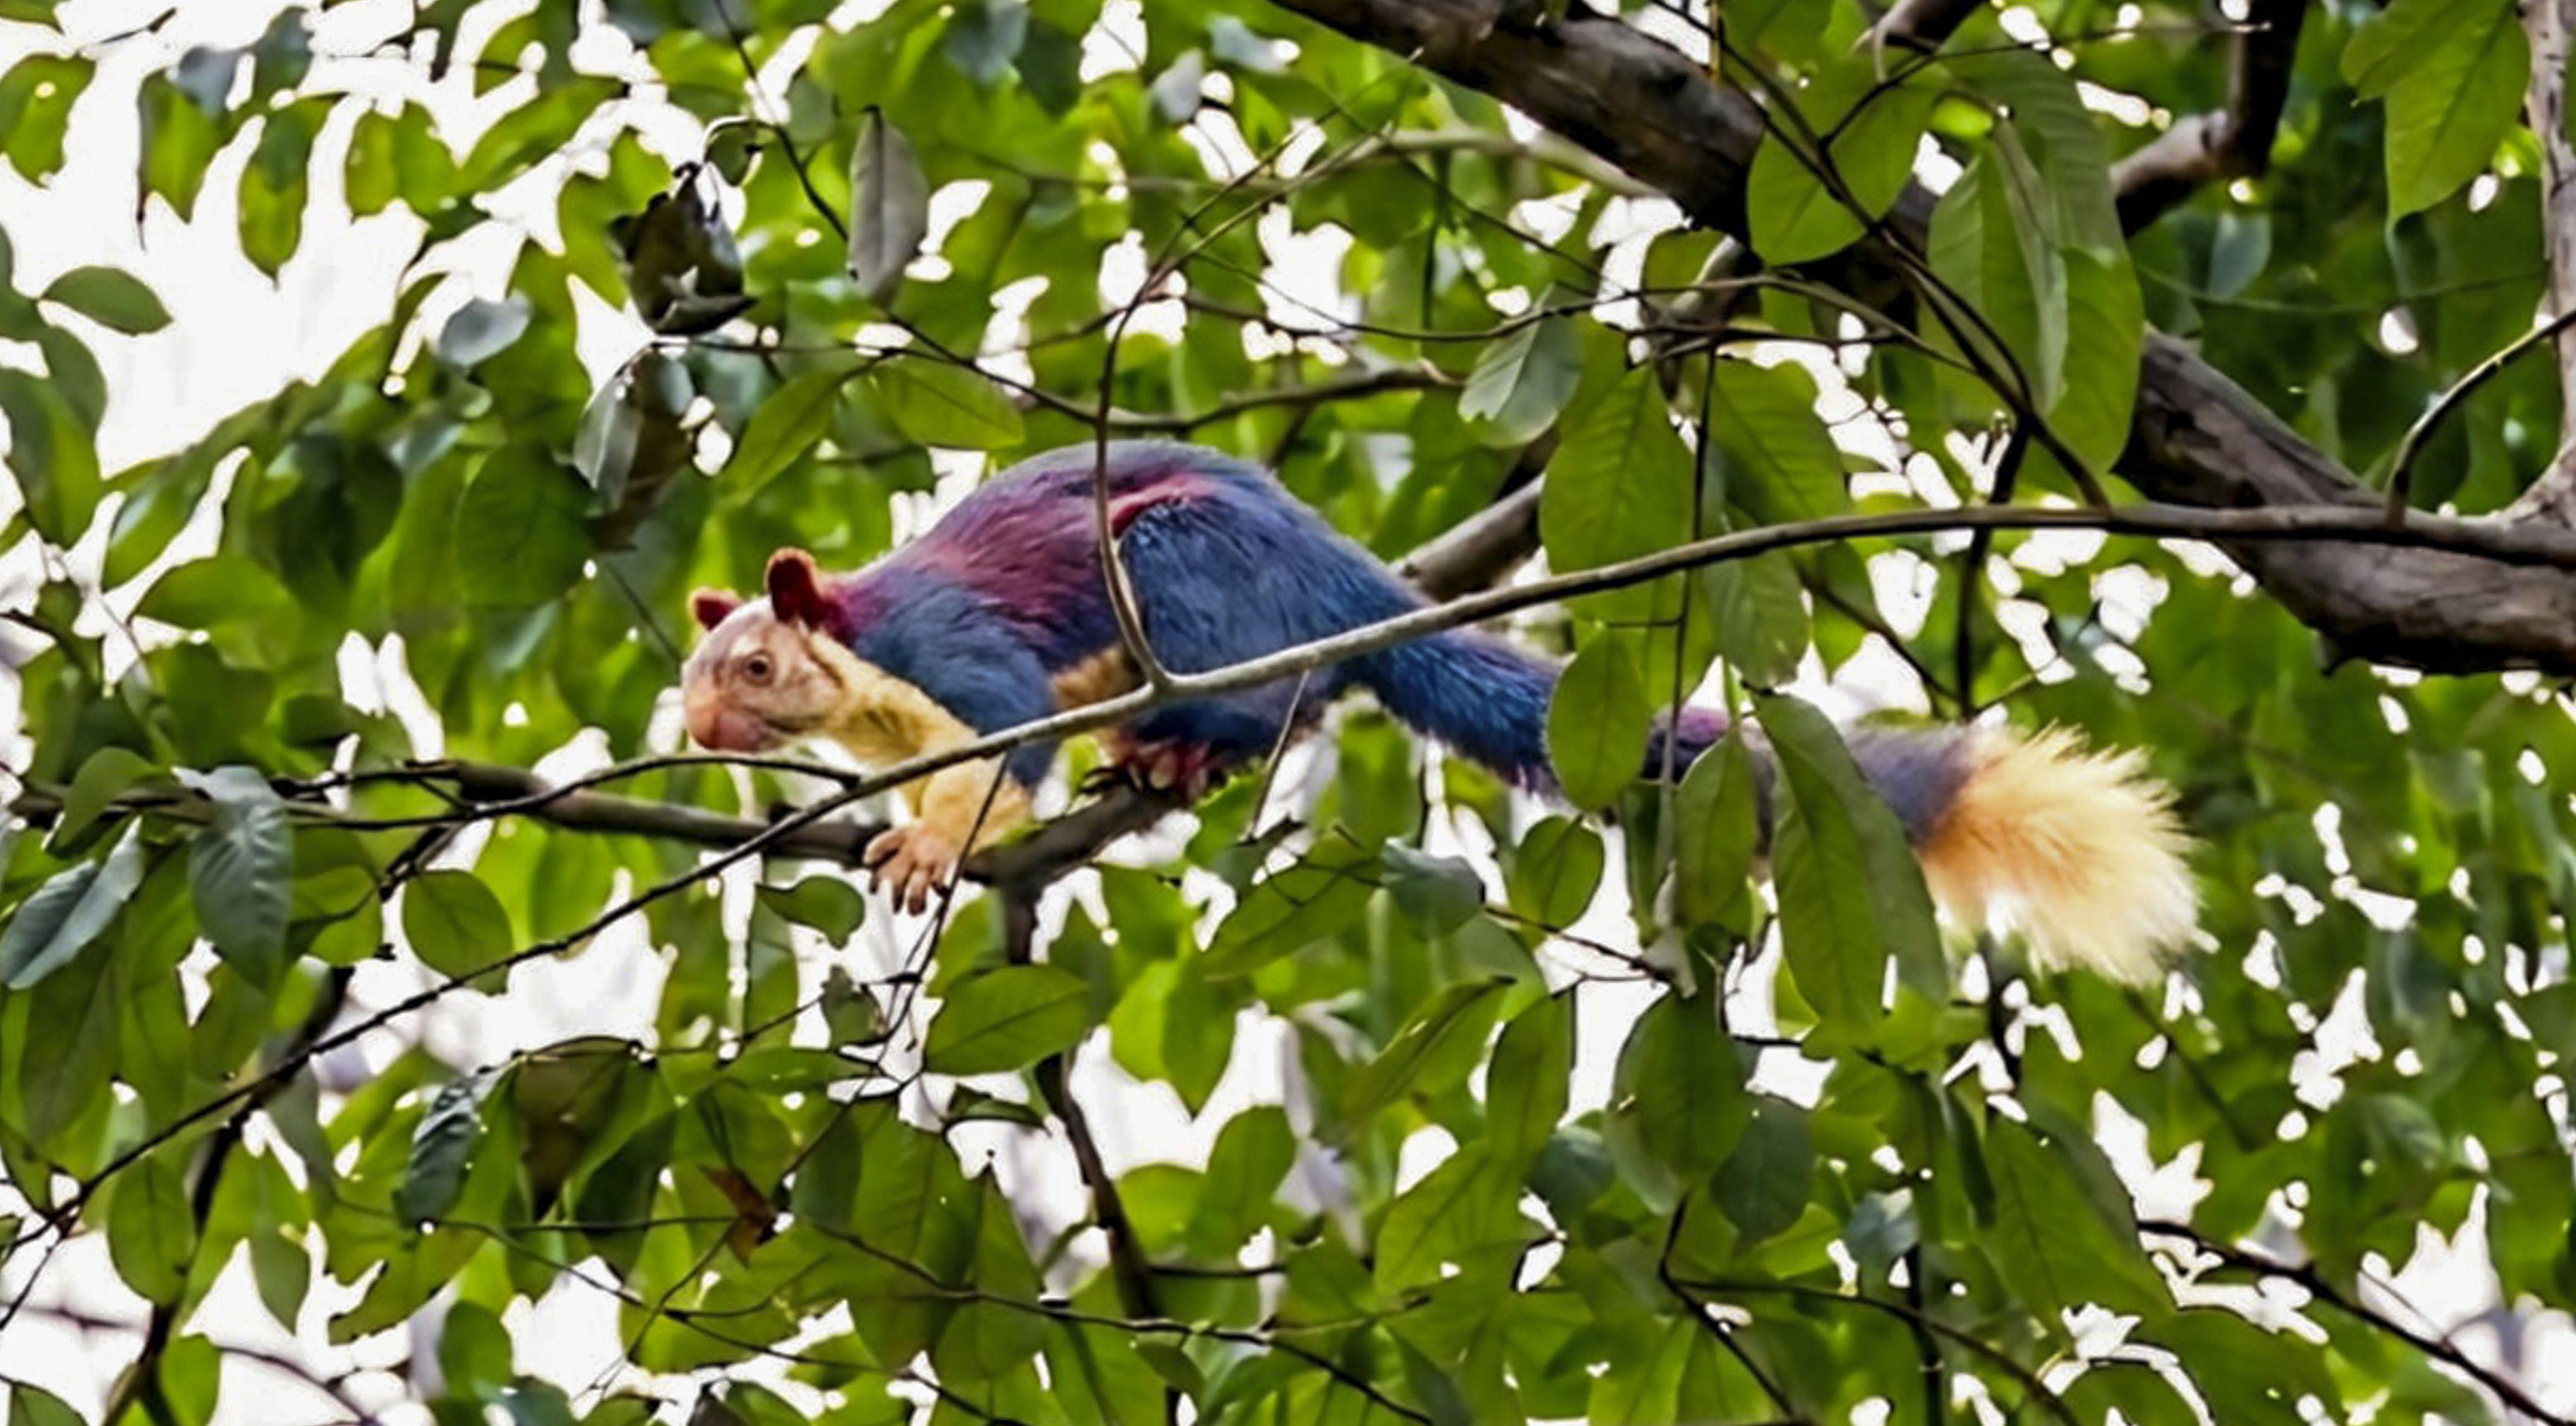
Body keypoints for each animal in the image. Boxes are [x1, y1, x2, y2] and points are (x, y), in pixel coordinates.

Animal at [681, 440, 2197, 979]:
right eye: (691, 677)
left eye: (752, 667)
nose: (697, 734)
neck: (863, 676)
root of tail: (1345, 579)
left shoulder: (958, 657)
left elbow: (1007, 748)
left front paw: (928, 849)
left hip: (1177, 567)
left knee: (1279, 701)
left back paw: (1179, 742)